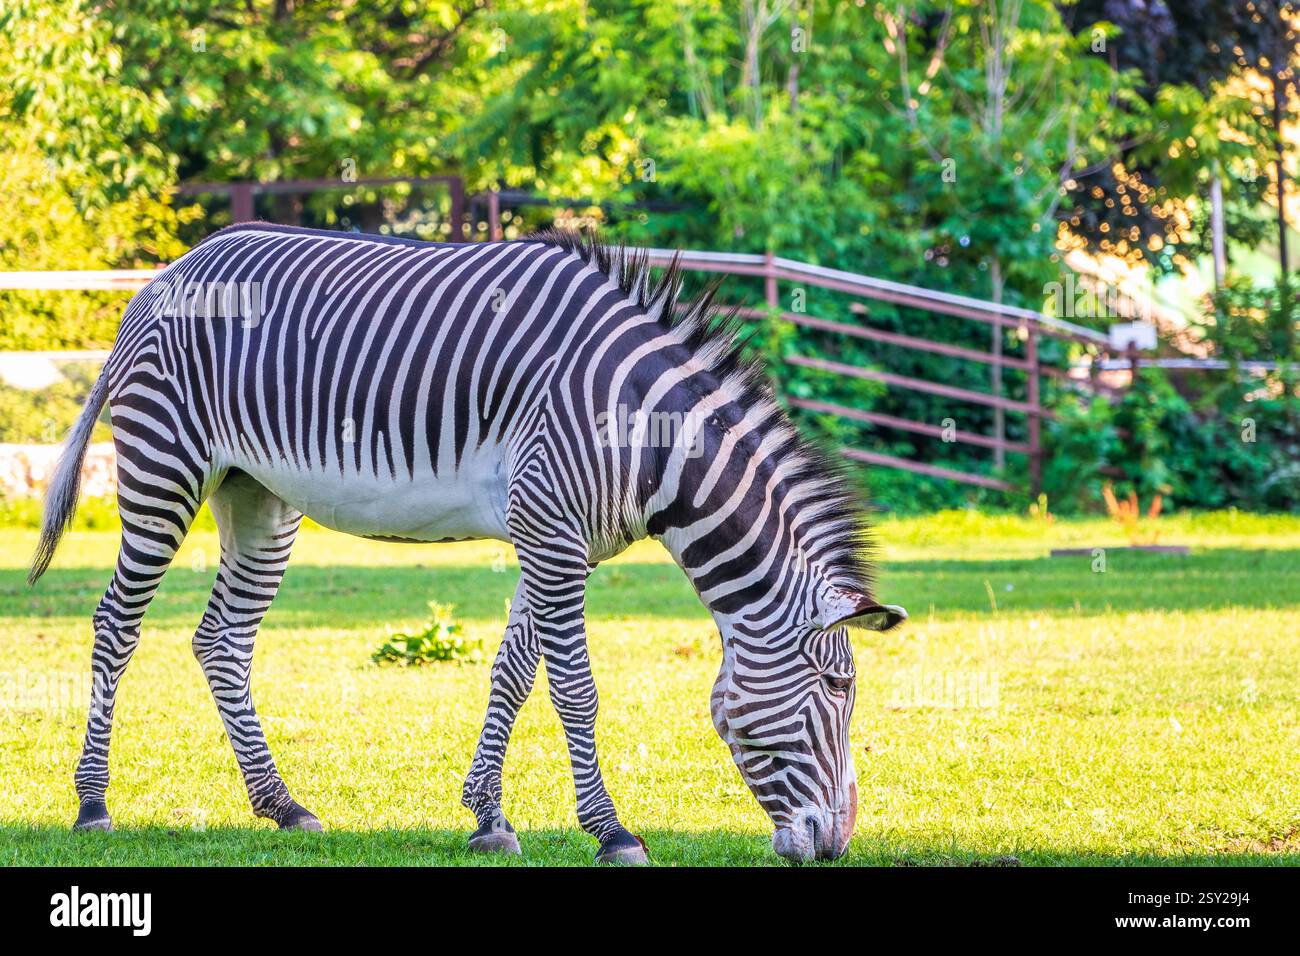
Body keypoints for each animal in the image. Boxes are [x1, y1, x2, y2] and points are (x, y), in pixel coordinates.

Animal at [30, 224, 906, 864]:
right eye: (838, 687)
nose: (836, 847)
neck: (646, 429)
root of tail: (166, 274)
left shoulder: (556, 539)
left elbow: (513, 674)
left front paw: (487, 818)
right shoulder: (552, 532)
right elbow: (574, 689)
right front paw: (611, 831)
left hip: (258, 495)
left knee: (221, 640)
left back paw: (283, 805)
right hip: (164, 466)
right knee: (115, 624)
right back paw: (93, 803)